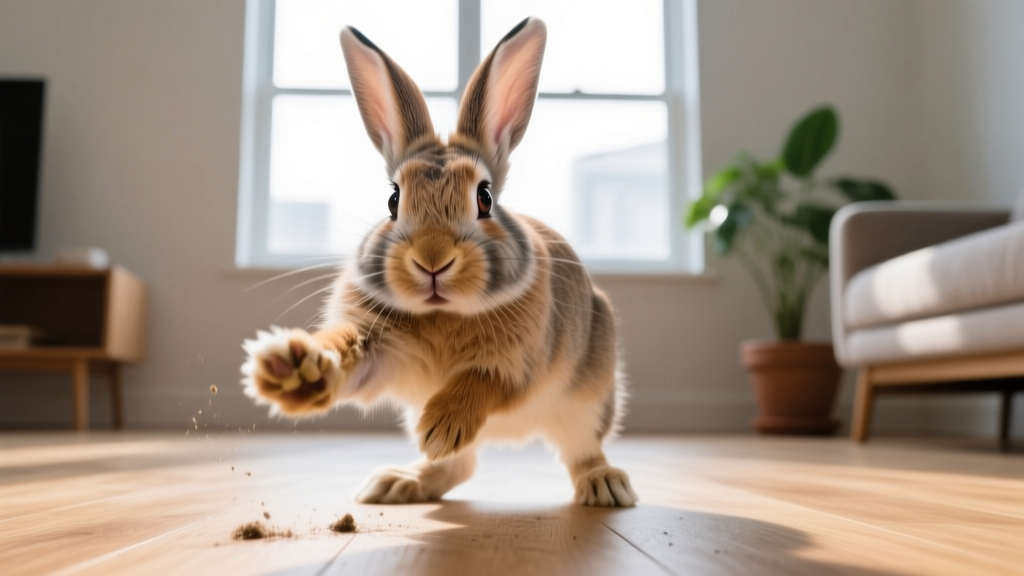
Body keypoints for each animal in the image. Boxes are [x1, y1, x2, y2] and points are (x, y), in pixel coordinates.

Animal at [241, 17, 637, 507]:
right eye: (393, 200)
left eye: (485, 198)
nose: (432, 260)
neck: (442, 313)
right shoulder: (375, 343)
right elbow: (346, 351)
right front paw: (294, 371)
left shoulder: (521, 363)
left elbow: (484, 381)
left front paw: (442, 426)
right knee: (459, 466)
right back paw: (398, 481)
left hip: (590, 399)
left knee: (582, 450)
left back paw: (605, 486)